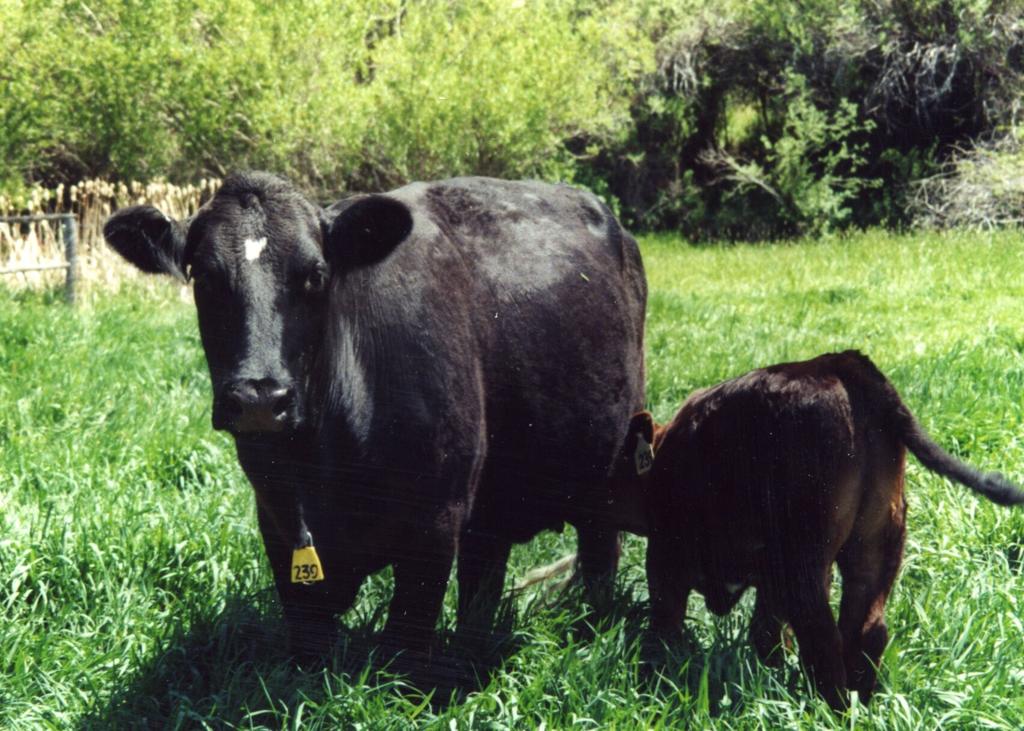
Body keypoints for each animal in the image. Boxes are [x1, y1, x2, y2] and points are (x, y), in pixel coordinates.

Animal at [103, 171, 647, 659]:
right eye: (204, 277)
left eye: (316, 275)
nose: (259, 397)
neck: (324, 464)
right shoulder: (278, 524)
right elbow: (308, 649)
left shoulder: (435, 523)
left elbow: (403, 647)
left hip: (614, 458)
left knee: (599, 554)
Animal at [609, 351, 1024, 708]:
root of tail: (838, 362)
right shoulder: (769, 576)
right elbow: (768, 633)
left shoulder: (666, 557)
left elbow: (666, 629)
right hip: (877, 542)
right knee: (866, 630)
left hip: (805, 560)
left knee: (823, 638)